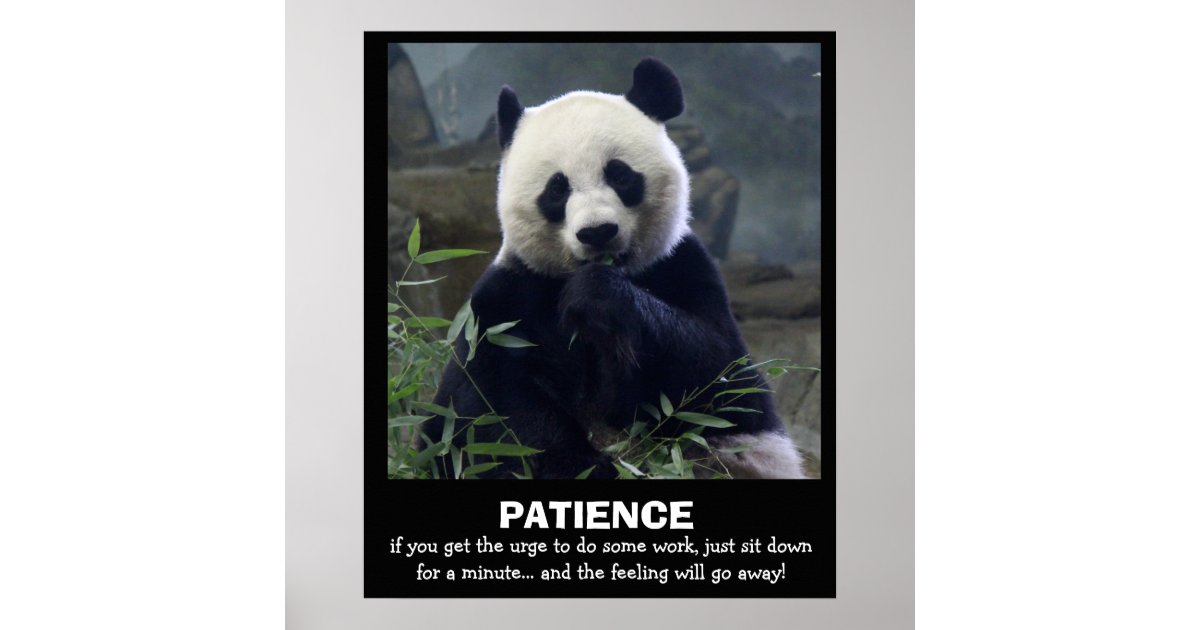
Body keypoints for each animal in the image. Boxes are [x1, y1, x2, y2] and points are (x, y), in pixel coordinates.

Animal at [432, 58, 807, 480]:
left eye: (619, 174)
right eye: (557, 188)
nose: (597, 231)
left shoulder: (683, 268)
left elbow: (715, 375)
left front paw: (598, 296)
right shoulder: (509, 300)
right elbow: (496, 410)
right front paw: (585, 467)